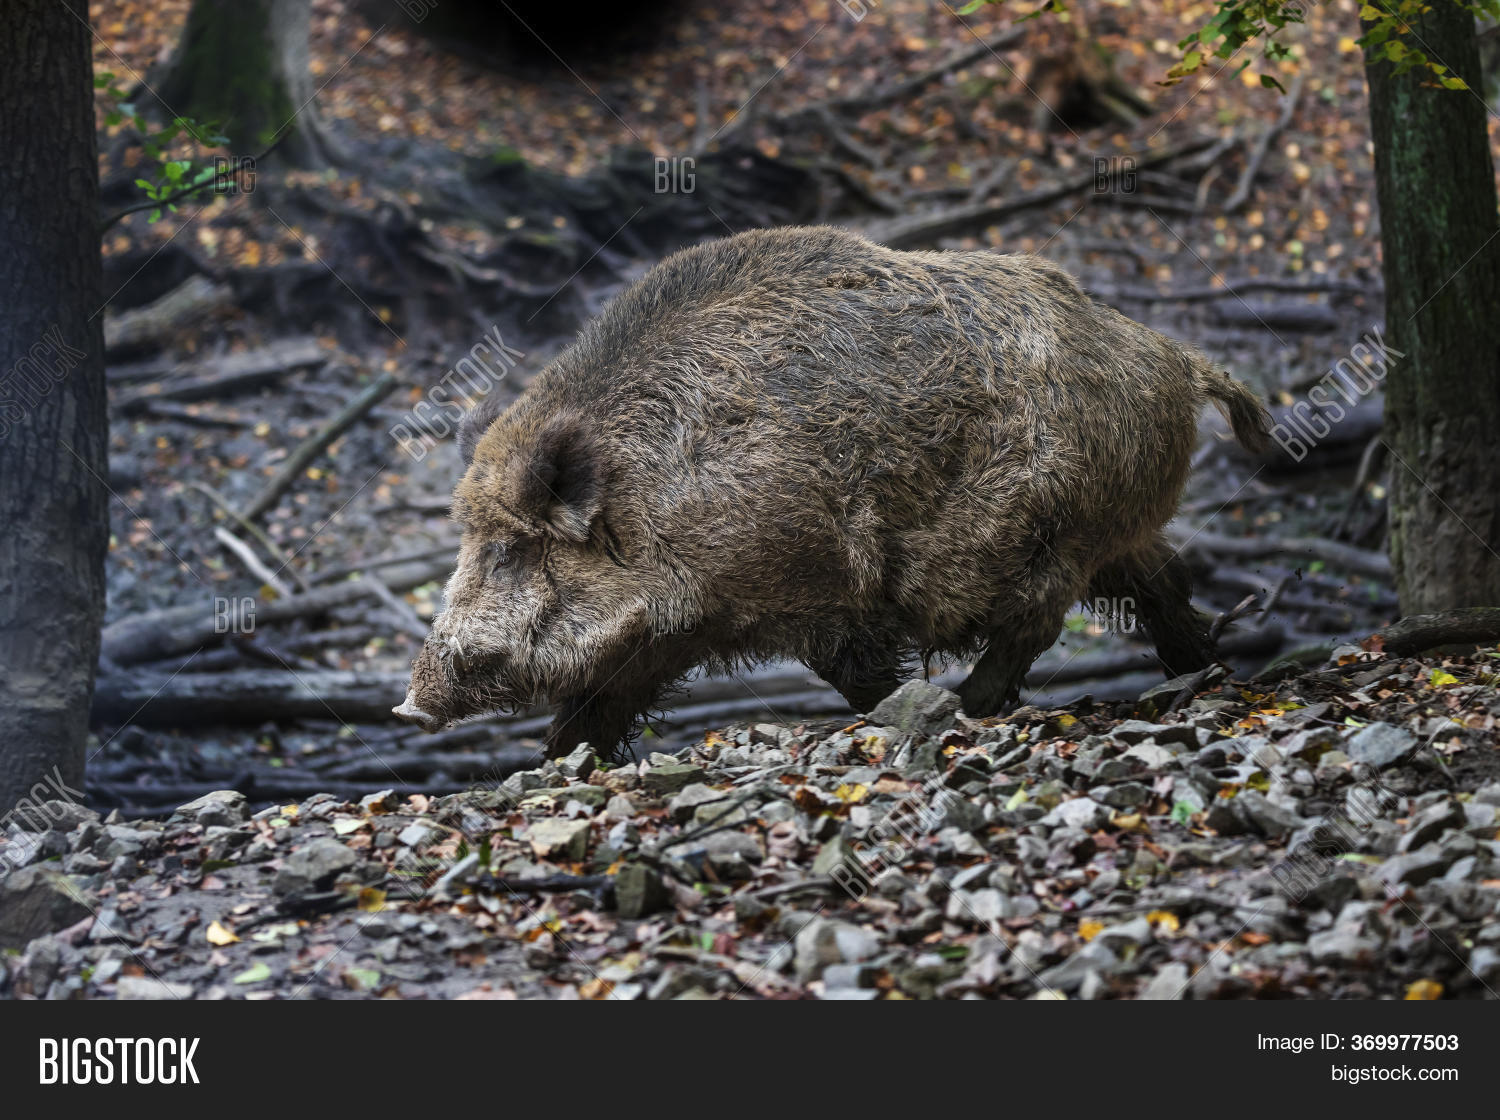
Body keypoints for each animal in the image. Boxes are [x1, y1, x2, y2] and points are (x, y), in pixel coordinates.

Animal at [393, 225, 1269, 757]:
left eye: (512, 547)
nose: (411, 705)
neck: (652, 505)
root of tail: (1173, 356)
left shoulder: (820, 588)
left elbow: (862, 675)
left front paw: (902, 712)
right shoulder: (661, 637)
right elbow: (588, 710)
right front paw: (551, 765)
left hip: (1063, 528)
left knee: (1038, 621)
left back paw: (976, 702)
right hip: (1117, 531)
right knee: (1163, 581)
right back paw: (1207, 667)